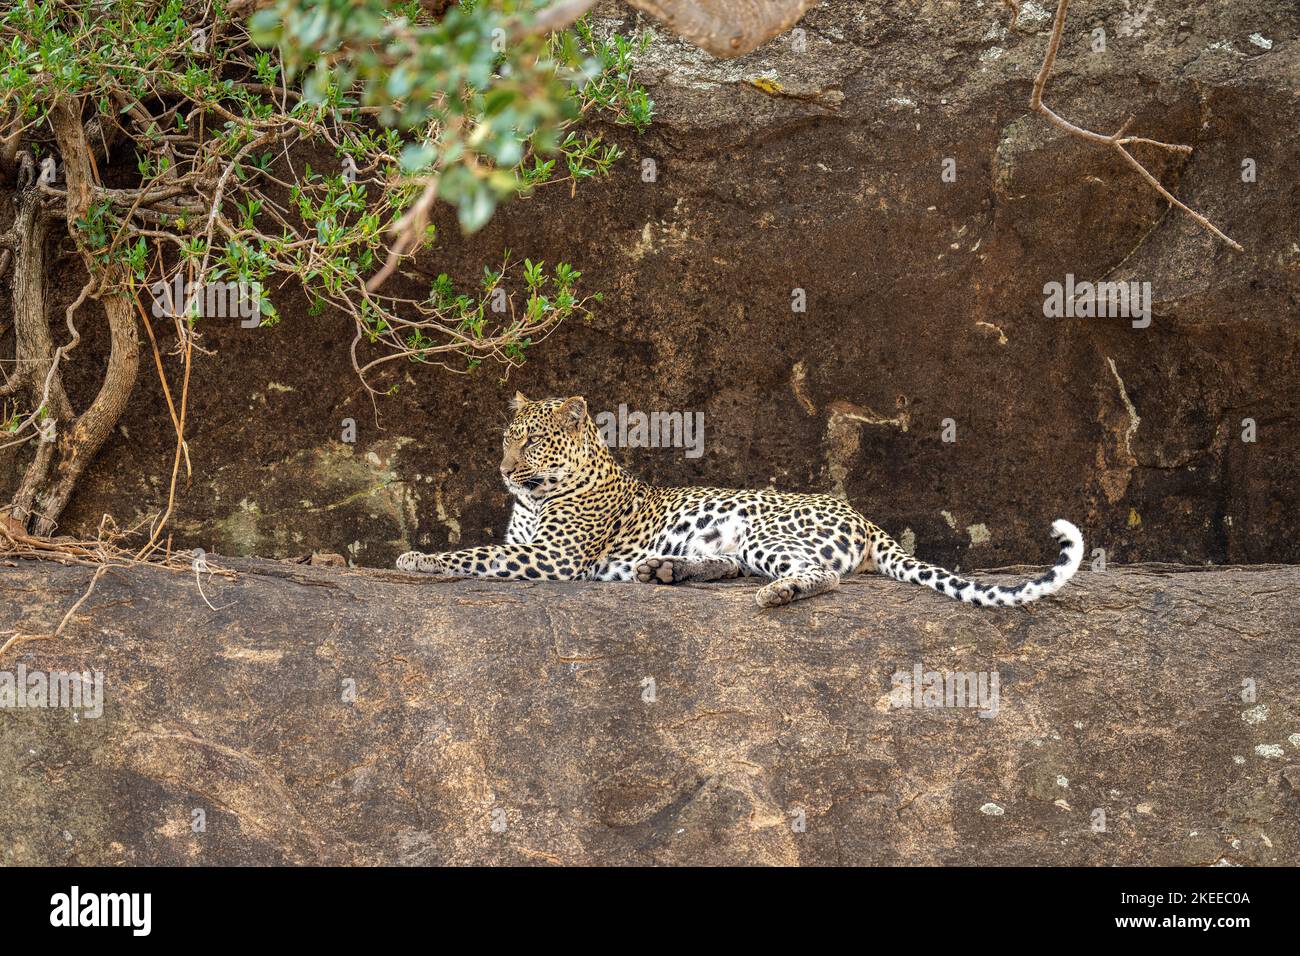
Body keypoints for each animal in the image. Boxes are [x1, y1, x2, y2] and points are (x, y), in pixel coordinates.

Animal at [396, 393, 1084, 608]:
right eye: (505, 439)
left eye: (532, 442)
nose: (504, 470)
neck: (536, 499)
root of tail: (862, 515)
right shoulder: (530, 547)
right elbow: (486, 550)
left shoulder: (553, 559)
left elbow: (474, 555)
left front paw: (414, 559)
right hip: (740, 539)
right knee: (728, 566)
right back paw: (666, 569)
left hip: (765, 530)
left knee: (820, 577)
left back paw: (776, 592)